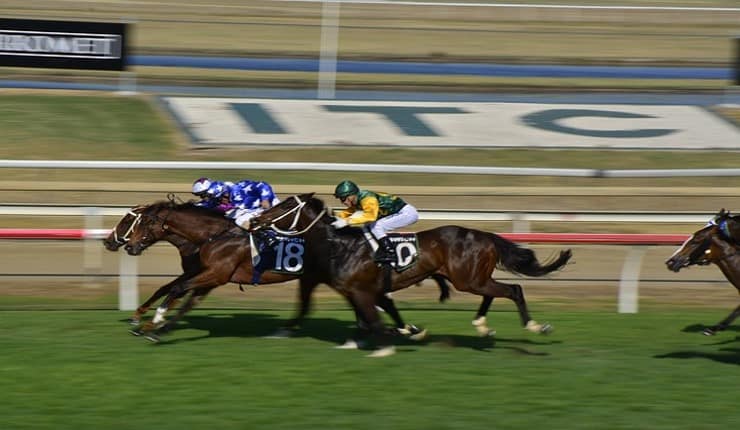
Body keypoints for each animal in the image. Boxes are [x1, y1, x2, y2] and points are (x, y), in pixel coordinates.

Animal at [120, 200, 448, 342]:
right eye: (130, 221)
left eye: (142, 222)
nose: (125, 245)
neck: (215, 234)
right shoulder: (207, 276)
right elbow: (176, 293)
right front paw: (146, 322)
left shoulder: (215, 274)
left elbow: (177, 291)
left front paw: (154, 324)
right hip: (321, 278)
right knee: (365, 301)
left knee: (374, 300)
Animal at [248, 193, 573, 355]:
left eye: (284, 205)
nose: (254, 219)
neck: (337, 244)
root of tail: (486, 236)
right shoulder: (356, 291)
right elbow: (367, 320)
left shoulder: (361, 291)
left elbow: (373, 319)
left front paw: (386, 344)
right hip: (472, 279)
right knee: (494, 293)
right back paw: (482, 326)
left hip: (468, 279)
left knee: (513, 290)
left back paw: (534, 326)